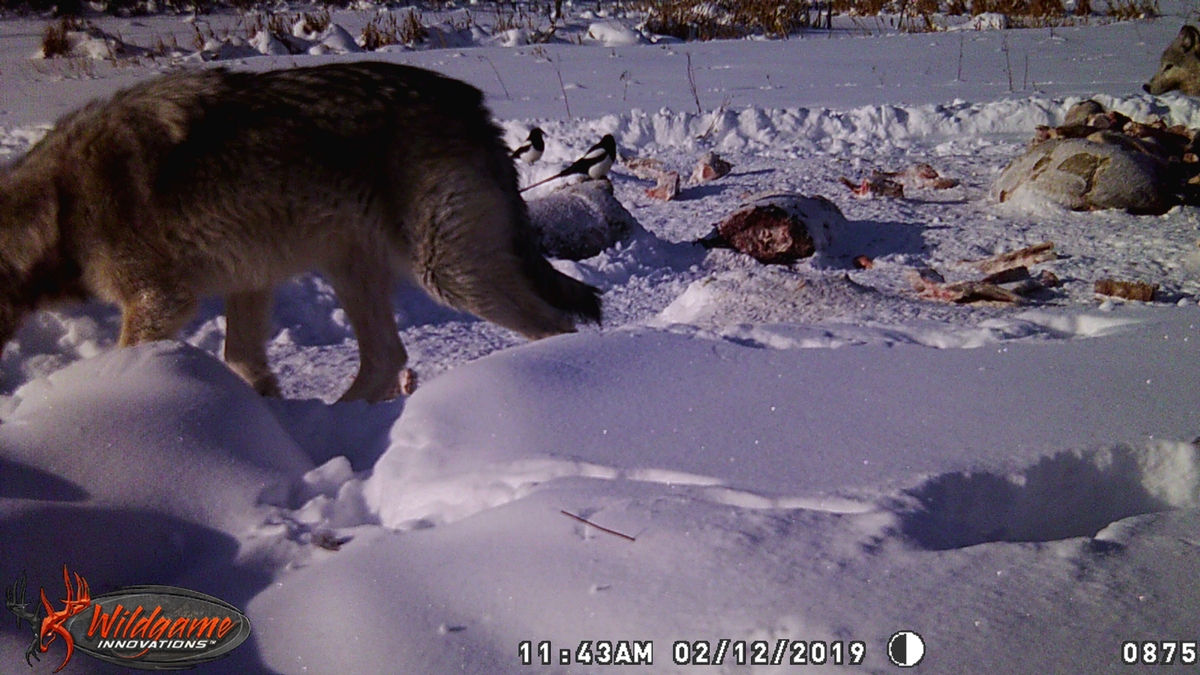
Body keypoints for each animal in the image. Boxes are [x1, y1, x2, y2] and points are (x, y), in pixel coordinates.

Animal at [0, 62, 601, 402]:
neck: (61, 203)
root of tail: (475, 107)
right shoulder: (249, 280)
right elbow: (240, 358)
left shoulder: (160, 299)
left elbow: (128, 355)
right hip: (351, 268)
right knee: (387, 358)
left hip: (448, 274)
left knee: (555, 327)